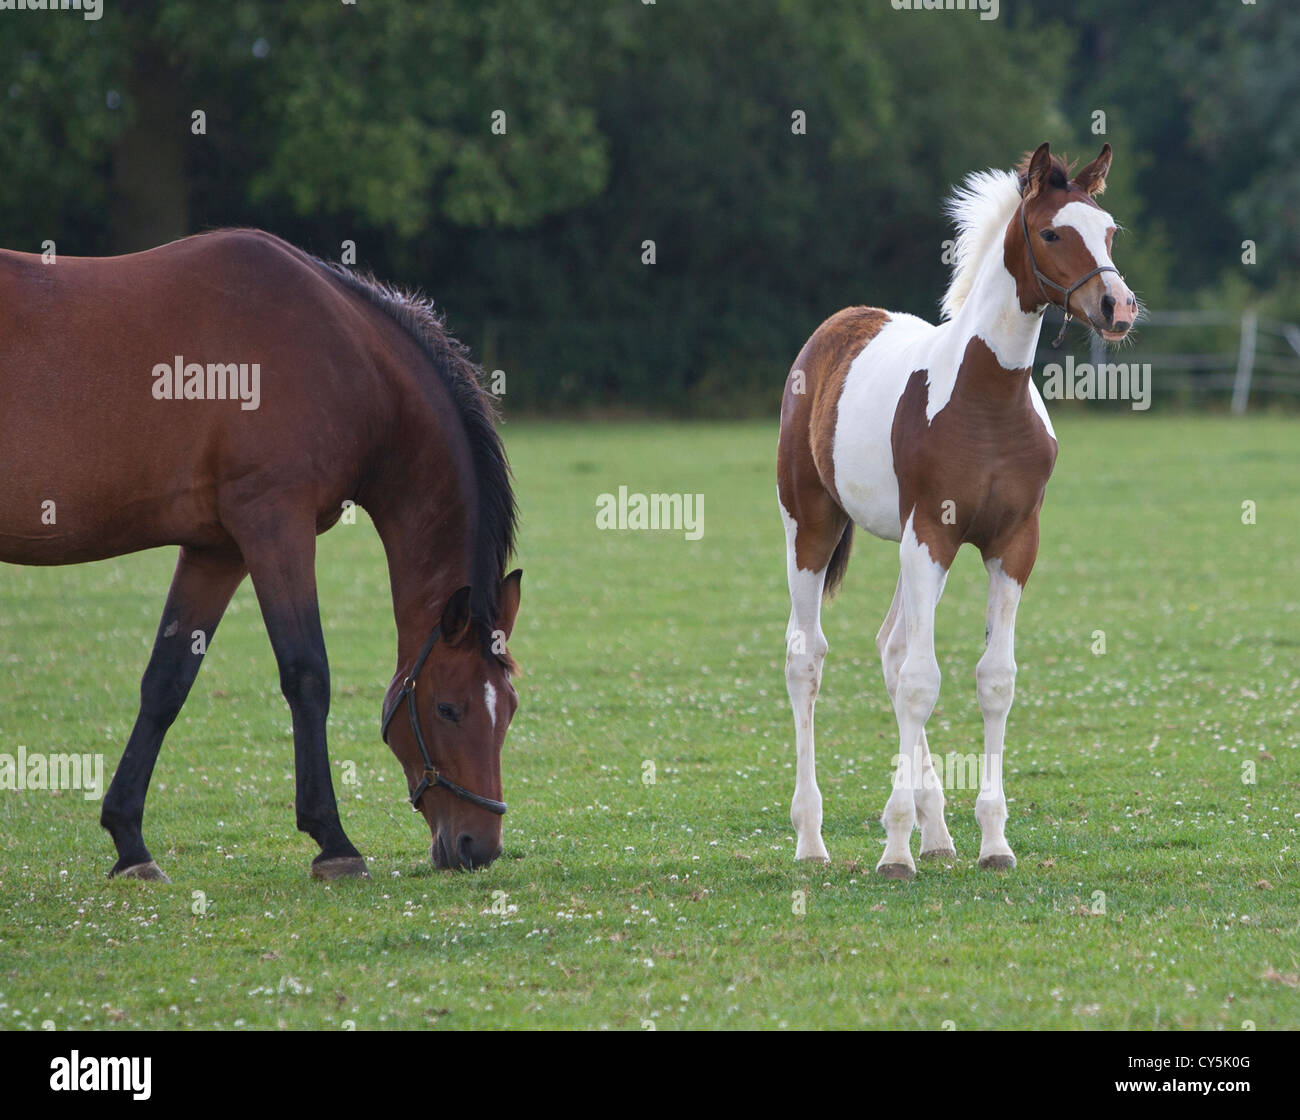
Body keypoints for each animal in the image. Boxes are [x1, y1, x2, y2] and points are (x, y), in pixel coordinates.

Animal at [0, 228, 523, 880]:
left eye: (509, 708)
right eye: (449, 709)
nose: (480, 847)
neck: (346, 358)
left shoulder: (216, 549)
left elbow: (166, 683)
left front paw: (129, 843)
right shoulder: (275, 524)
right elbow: (307, 673)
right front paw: (334, 841)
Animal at [777, 143, 1136, 878]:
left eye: (1109, 231)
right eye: (1052, 233)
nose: (1118, 306)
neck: (986, 399)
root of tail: (834, 328)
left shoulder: (1013, 544)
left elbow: (992, 680)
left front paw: (992, 842)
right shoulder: (931, 535)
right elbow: (922, 681)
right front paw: (893, 851)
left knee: (890, 647)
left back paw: (935, 832)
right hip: (812, 525)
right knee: (808, 657)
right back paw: (813, 840)